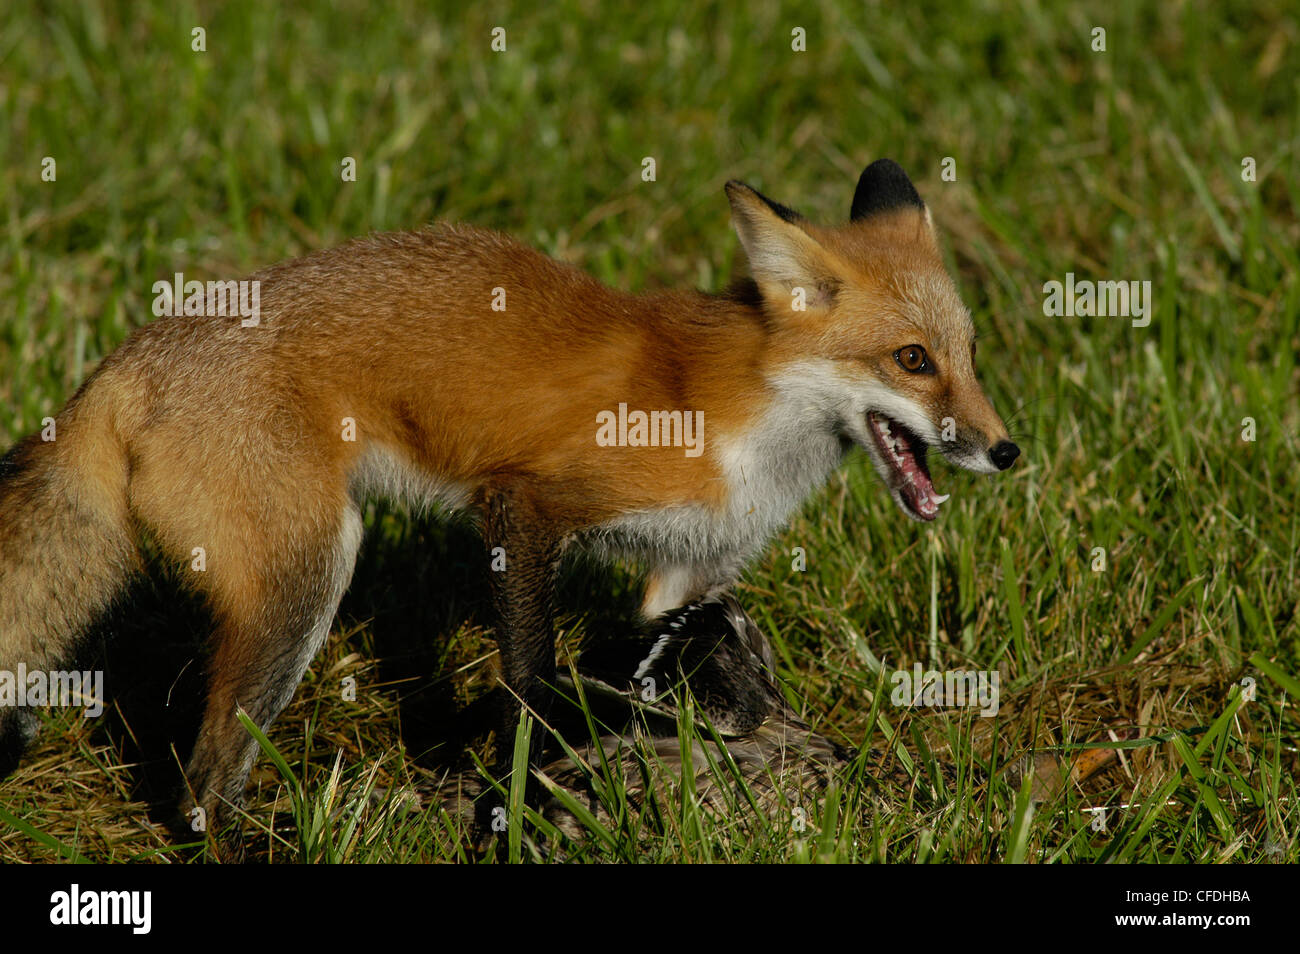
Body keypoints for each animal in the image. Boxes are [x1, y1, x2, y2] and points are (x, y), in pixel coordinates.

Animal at [0, 159, 1018, 846]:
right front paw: (528, 764)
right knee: (203, 780)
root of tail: (124, 362)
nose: (1005, 450)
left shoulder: (683, 575)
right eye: (912, 360)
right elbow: (528, 671)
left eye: (969, 358)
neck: (745, 416)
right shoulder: (524, 503)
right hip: (306, 579)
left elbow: (665, 656)